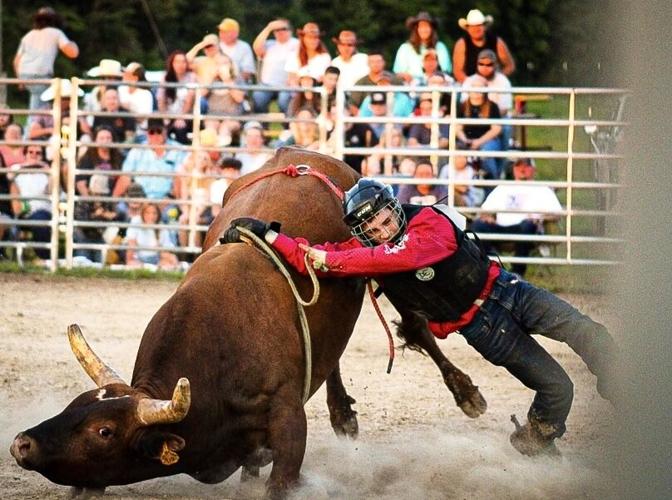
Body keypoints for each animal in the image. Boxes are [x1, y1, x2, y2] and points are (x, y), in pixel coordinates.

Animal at [10, 148, 485, 498]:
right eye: (73, 405)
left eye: (104, 430)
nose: (22, 443)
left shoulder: (289, 424)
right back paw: (343, 416)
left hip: (390, 259)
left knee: (417, 326)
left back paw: (466, 394)